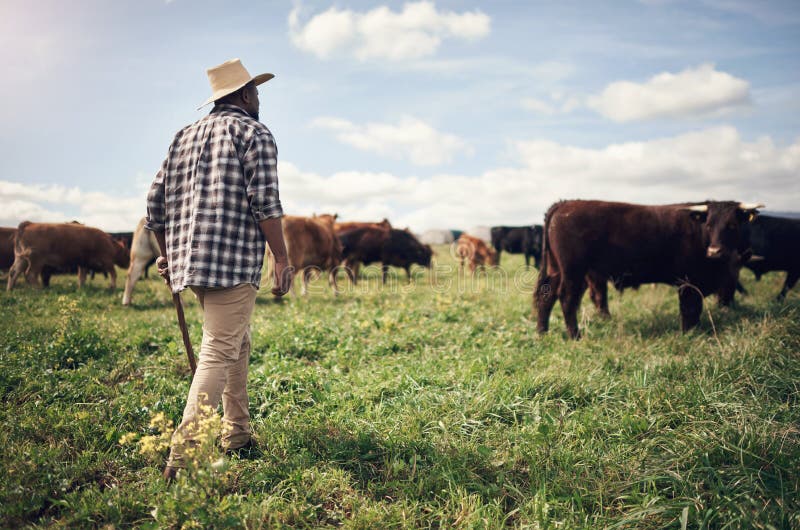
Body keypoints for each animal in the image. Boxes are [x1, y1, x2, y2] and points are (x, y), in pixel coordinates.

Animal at [534, 200, 762, 339]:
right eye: (709, 225)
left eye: (732, 225)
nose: (715, 251)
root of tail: (565, 204)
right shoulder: (688, 282)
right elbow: (689, 309)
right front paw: (688, 333)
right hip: (573, 271)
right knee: (567, 299)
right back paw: (575, 336)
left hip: (557, 270)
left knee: (546, 296)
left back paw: (542, 332)